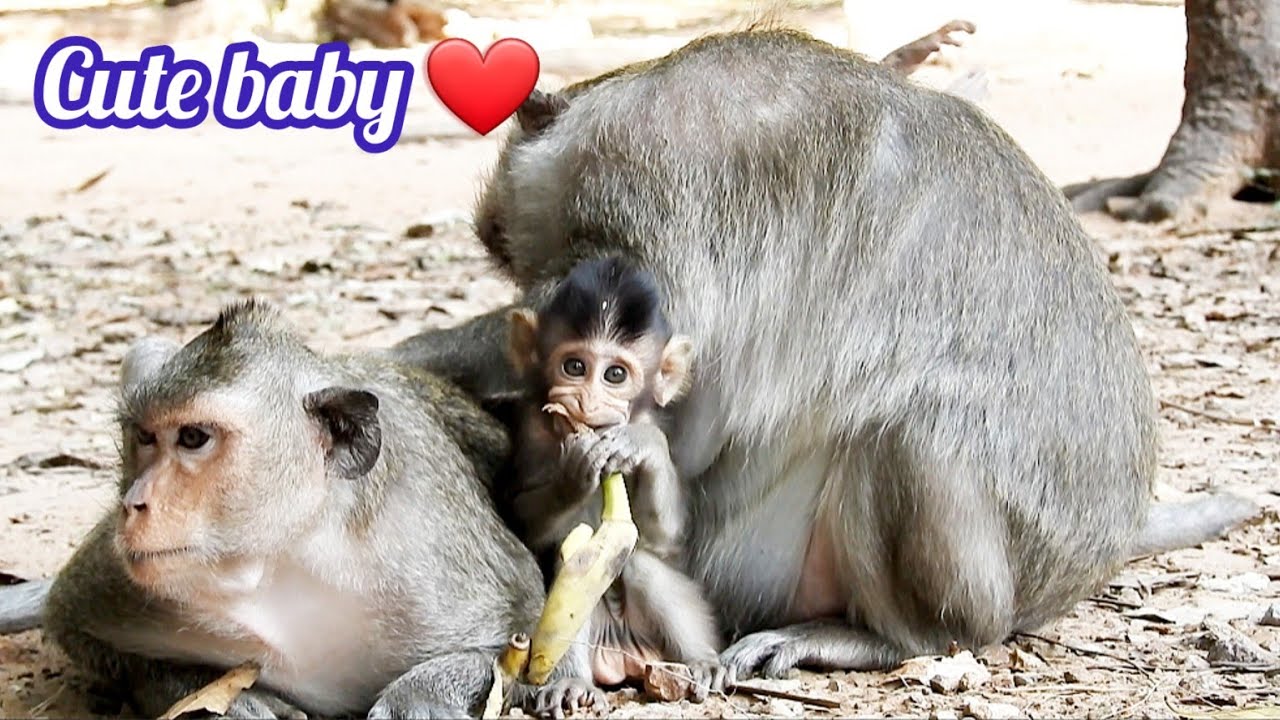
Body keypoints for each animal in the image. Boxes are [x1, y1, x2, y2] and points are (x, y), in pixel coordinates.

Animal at [0, 299, 601, 720]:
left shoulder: (430, 565)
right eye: (143, 437)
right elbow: (72, 622)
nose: (134, 503)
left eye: (193, 437)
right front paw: (225, 698)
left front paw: (417, 697)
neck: (287, 557)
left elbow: (525, 635)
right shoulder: (124, 585)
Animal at [502, 256, 726, 701]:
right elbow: (525, 518)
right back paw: (572, 681)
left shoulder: (654, 422)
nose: (587, 403)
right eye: (575, 367)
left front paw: (642, 445)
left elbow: (668, 540)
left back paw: (702, 662)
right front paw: (573, 476)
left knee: (641, 564)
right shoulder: (534, 427)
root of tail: (622, 652)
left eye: (615, 375)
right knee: (568, 567)